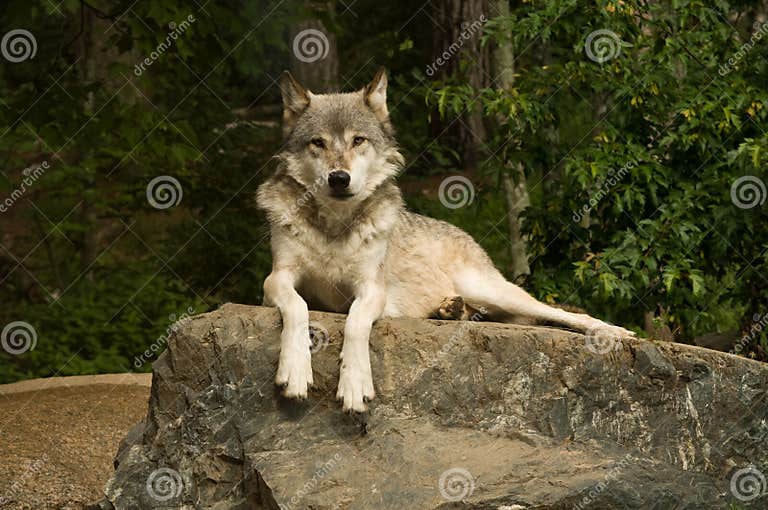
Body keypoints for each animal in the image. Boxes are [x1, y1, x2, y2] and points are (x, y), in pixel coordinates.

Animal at [256, 68, 635, 412]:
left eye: (358, 140)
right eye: (317, 143)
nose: (338, 178)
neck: (334, 228)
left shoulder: (371, 289)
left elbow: (355, 322)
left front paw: (354, 383)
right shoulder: (276, 279)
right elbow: (298, 307)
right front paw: (295, 371)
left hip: (493, 290)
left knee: (561, 314)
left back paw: (615, 331)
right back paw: (451, 310)